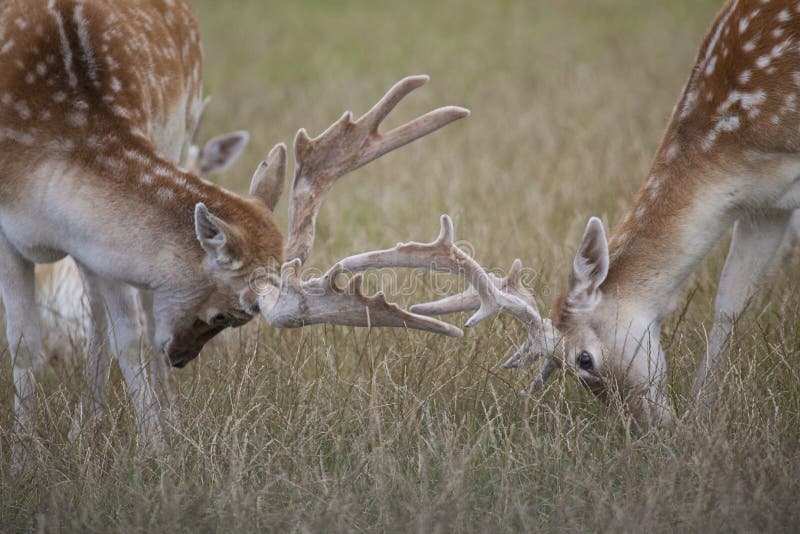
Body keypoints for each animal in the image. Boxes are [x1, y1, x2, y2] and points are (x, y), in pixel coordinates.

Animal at [0, 0, 472, 468]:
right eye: (223, 316)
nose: (180, 358)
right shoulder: (17, 238)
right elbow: (24, 343)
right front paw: (24, 458)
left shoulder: (96, 243)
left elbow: (127, 339)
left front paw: (157, 451)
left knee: (121, 317)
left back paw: (134, 420)